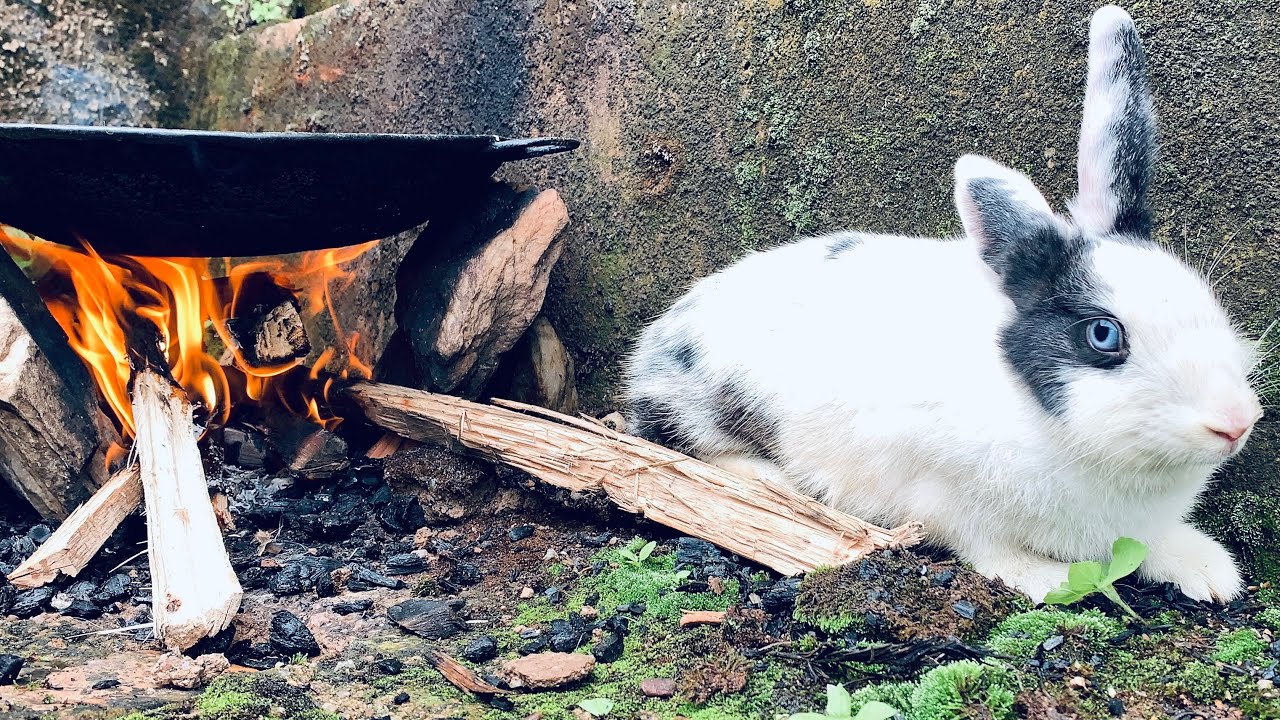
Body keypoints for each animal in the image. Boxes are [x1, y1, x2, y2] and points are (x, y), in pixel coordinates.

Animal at [618, 4, 1264, 605]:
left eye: (1206, 299)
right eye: (1104, 336)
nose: (1235, 422)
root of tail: (651, 349)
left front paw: (1210, 572)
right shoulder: (945, 496)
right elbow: (991, 550)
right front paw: (1050, 581)